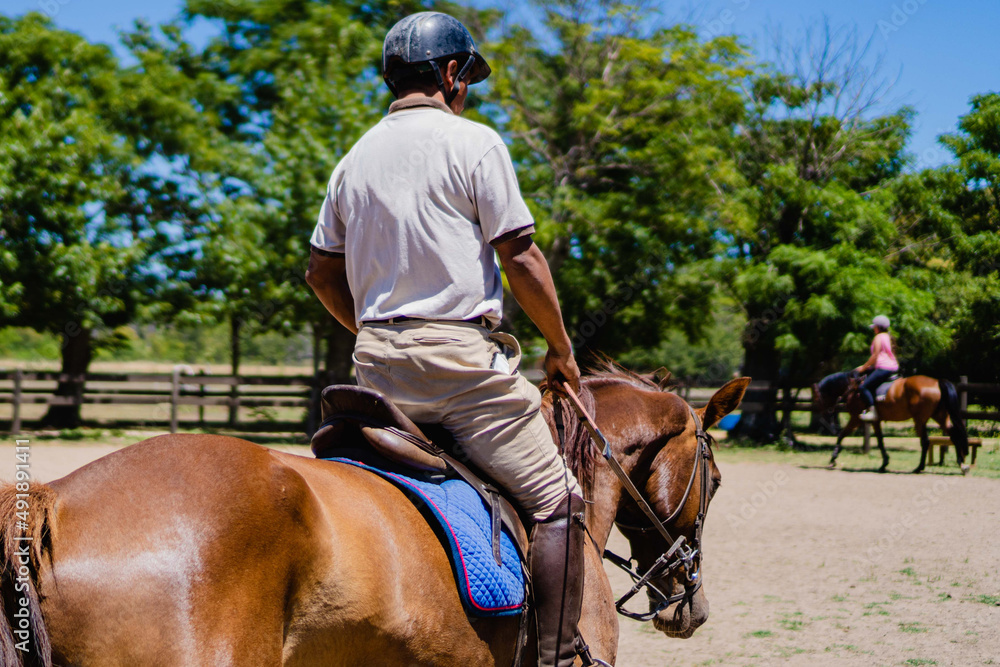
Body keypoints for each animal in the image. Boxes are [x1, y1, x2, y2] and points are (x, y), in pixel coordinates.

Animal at [812, 371, 969, 474]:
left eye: (816, 398)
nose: (821, 413)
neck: (853, 389)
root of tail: (936, 382)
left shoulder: (855, 419)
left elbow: (841, 435)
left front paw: (833, 459)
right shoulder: (875, 421)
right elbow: (880, 441)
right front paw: (884, 464)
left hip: (919, 420)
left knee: (925, 442)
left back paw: (919, 468)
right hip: (940, 416)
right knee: (954, 435)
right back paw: (962, 465)